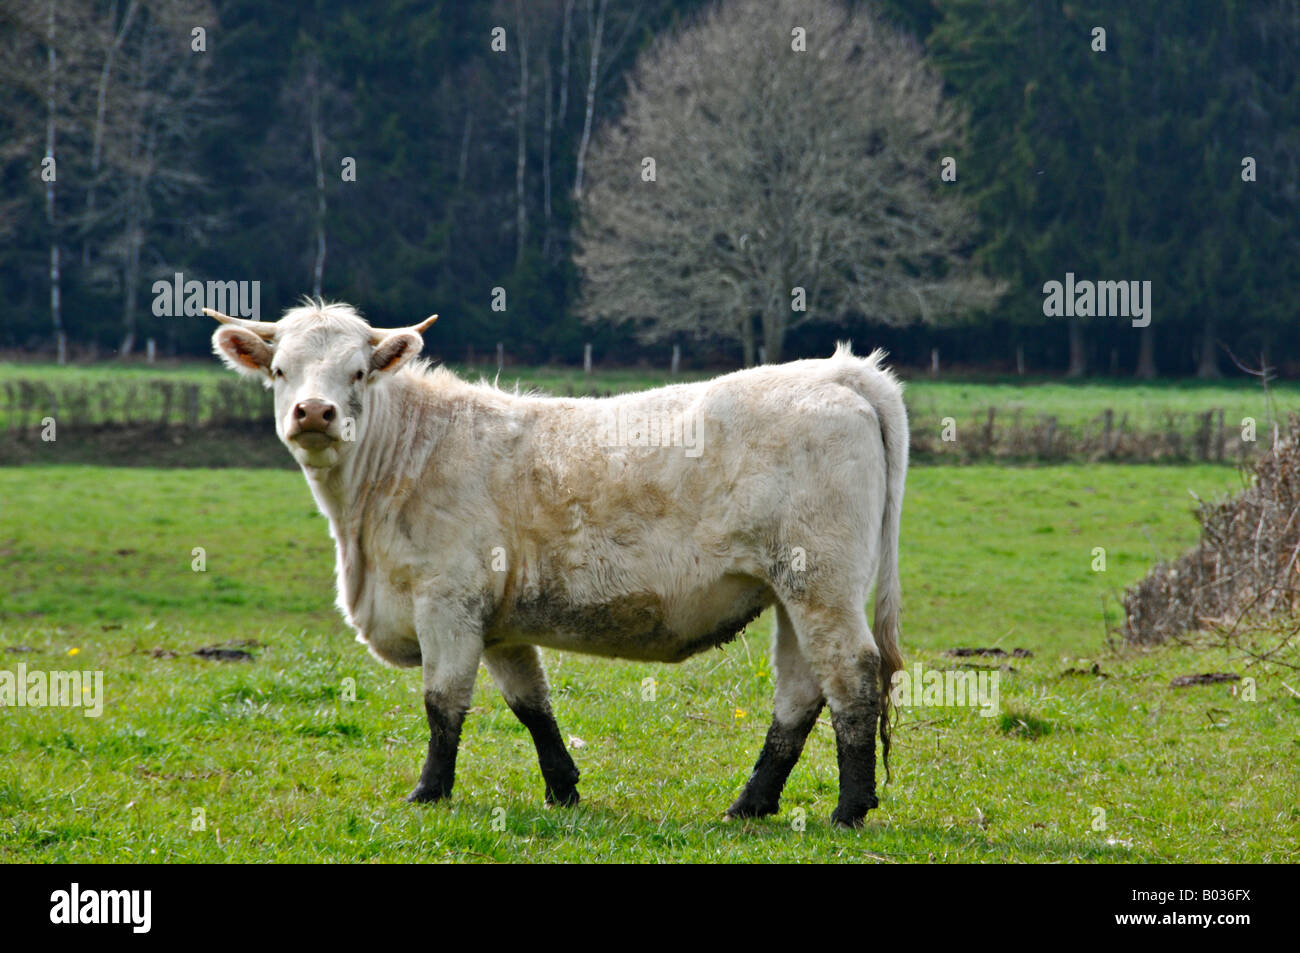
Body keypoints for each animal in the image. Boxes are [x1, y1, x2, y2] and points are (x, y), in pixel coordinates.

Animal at [209, 300, 908, 827]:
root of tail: (837, 371)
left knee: (852, 675)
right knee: (799, 690)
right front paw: (563, 789)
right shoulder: (496, 621)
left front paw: (429, 793)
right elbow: (530, 703)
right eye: (280, 371)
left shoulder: (446, 600)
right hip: (791, 591)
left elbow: (442, 703)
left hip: (821, 582)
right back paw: (750, 805)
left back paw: (849, 810)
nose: (314, 413)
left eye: (356, 373)